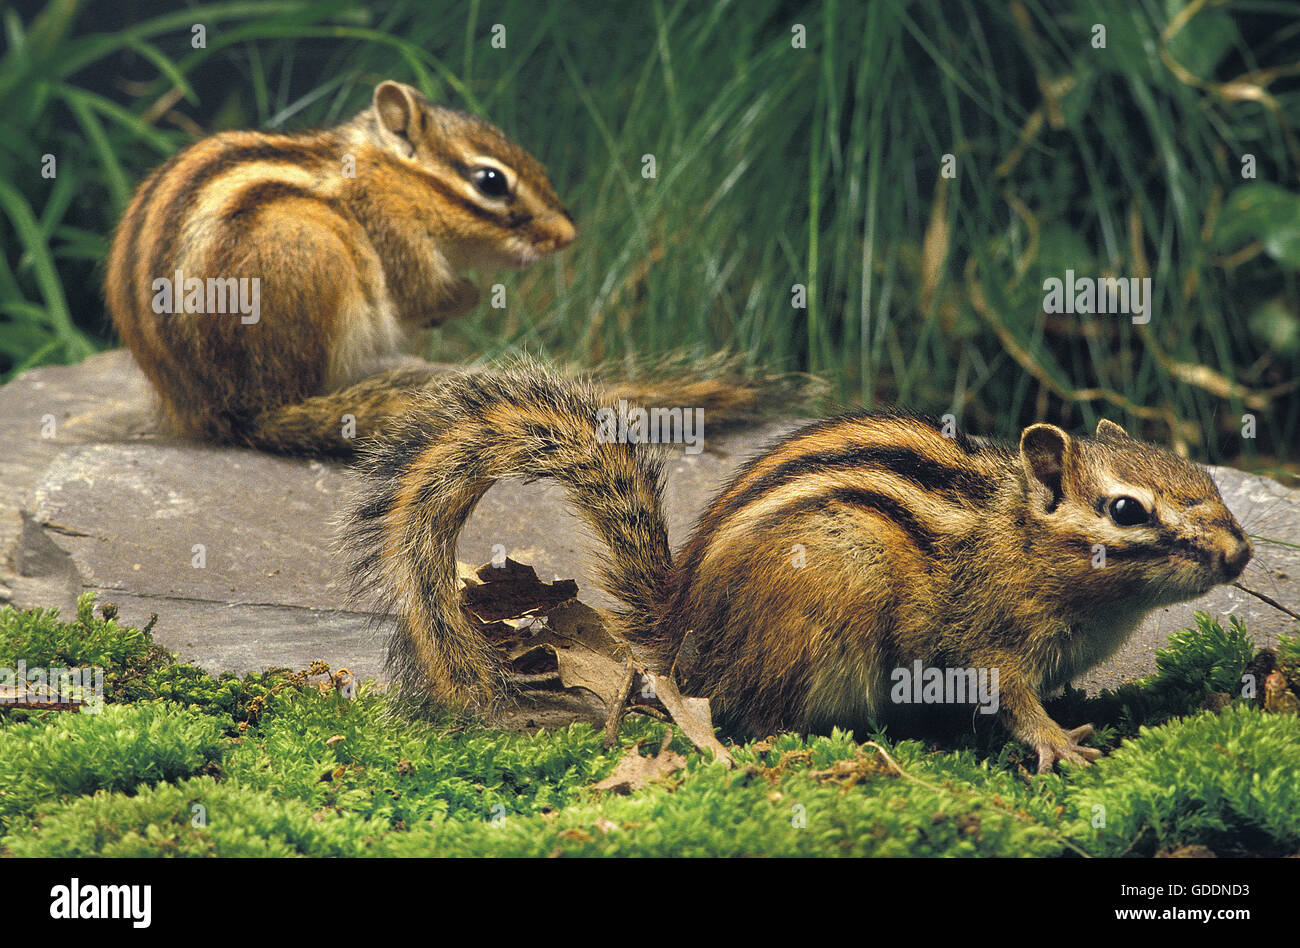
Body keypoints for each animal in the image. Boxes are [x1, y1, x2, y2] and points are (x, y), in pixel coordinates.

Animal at [104, 80, 758, 455]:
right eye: (490, 181)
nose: (568, 235)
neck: (389, 172)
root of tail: (231, 410)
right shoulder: (396, 239)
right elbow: (421, 295)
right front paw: (467, 297)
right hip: (313, 256)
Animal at [341, 361, 1254, 773]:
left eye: (1205, 479)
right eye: (1127, 511)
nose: (1241, 552)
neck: (1018, 540)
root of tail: (681, 634)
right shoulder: (985, 639)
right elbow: (1010, 697)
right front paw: (1061, 744)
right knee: (765, 717)